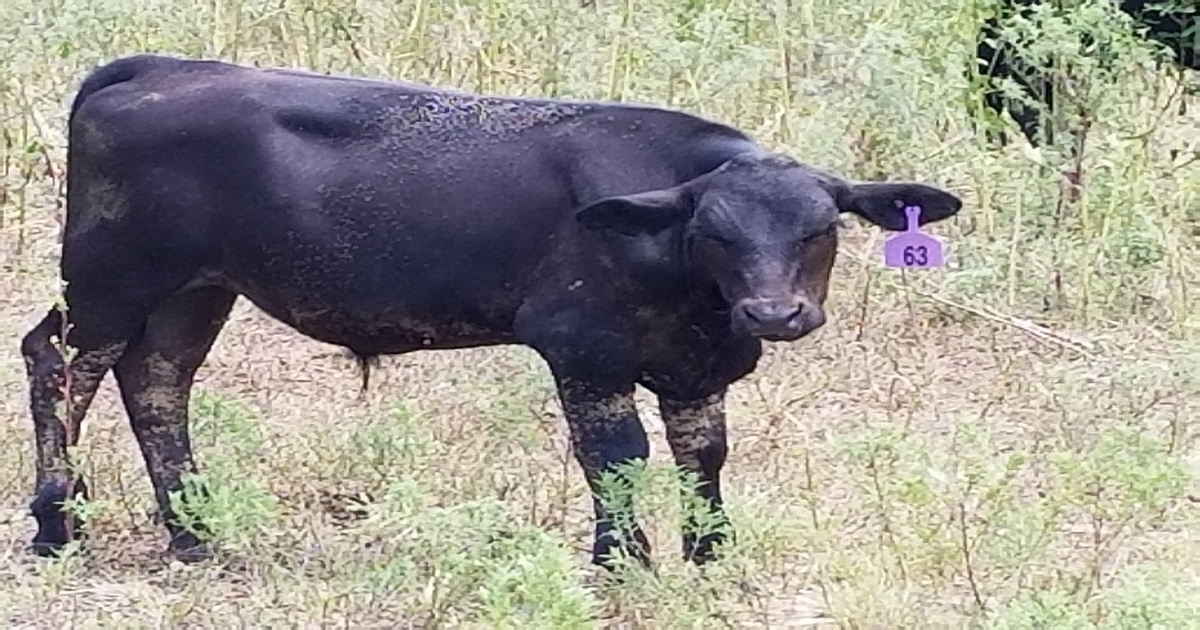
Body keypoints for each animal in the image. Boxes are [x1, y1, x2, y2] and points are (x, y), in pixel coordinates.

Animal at [20, 53, 962, 570]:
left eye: (821, 226)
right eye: (713, 233)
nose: (773, 313)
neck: (698, 308)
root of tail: (159, 67)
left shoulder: (698, 369)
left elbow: (704, 457)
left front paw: (710, 555)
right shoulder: (583, 348)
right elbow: (616, 458)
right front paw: (623, 562)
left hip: (195, 289)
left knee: (157, 379)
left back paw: (195, 530)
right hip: (108, 279)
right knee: (58, 362)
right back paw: (56, 523)